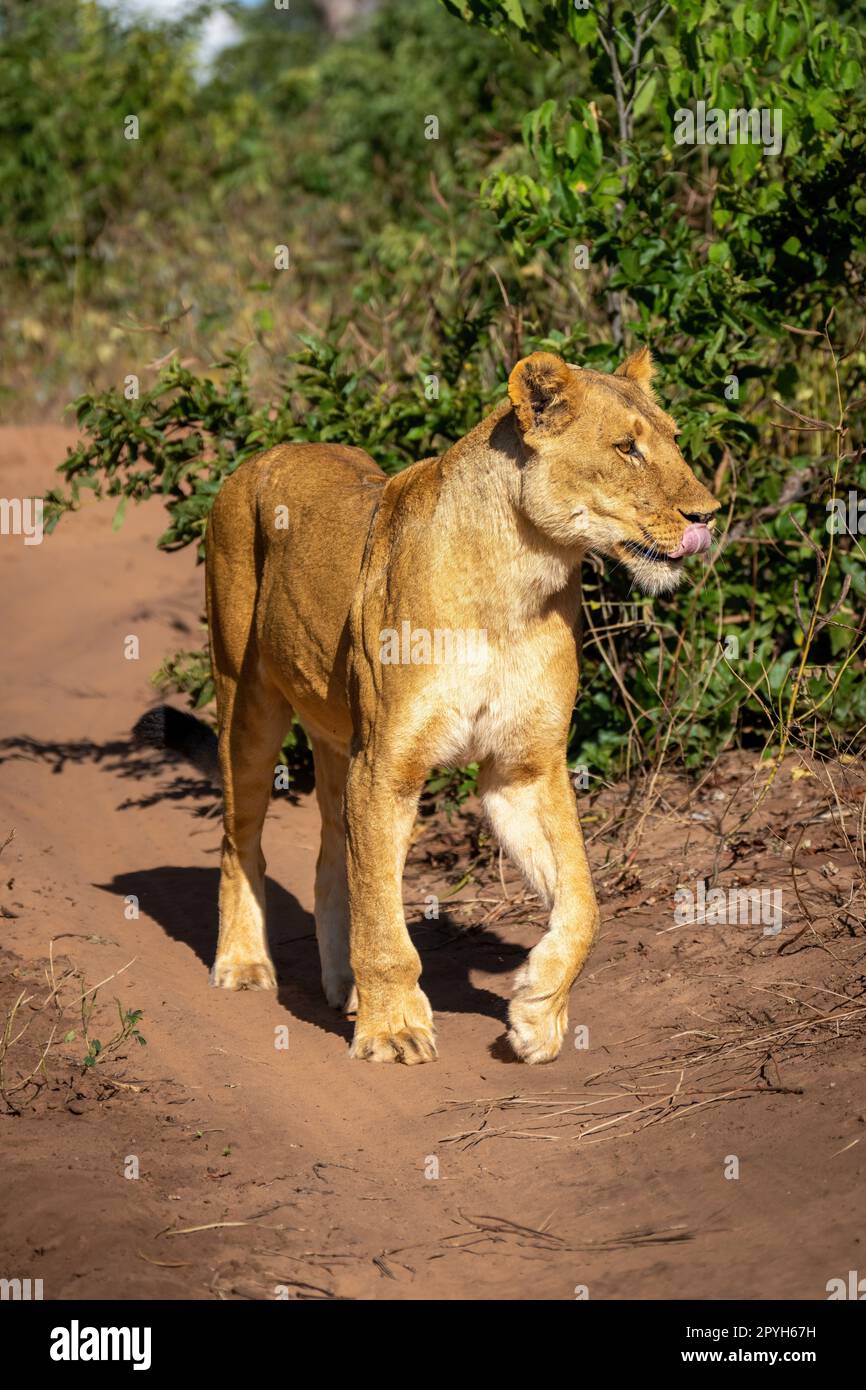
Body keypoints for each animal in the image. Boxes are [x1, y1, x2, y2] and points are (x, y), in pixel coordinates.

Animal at [139, 348, 719, 1064]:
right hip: (245, 698)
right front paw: (392, 1030)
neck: (517, 582)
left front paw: (537, 1011)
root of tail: (265, 453)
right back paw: (245, 964)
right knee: (239, 839)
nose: (708, 516)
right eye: (626, 448)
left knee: (334, 858)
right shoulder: (387, 764)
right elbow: (385, 922)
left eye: (673, 439)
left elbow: (583, 902)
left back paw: (344, 986)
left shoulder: (524, 769)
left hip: (337, 733)